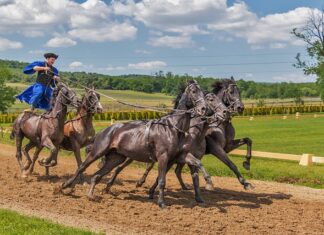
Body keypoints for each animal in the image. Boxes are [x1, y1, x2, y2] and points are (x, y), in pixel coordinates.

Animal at [61, 80, 213, 207]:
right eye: (193, 91)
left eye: (203, 92)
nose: (203, 109)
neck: (173, 127)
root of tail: (105, 131)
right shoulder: (163, 157)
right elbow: (162, 180)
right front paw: (161, 203)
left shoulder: (181, 155)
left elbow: (198, 163)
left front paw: (209, 182)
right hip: (97, 152)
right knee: (82, 167)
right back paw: (65, 186)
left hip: (116, 158)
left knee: (97, 175)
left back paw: (90, 195)